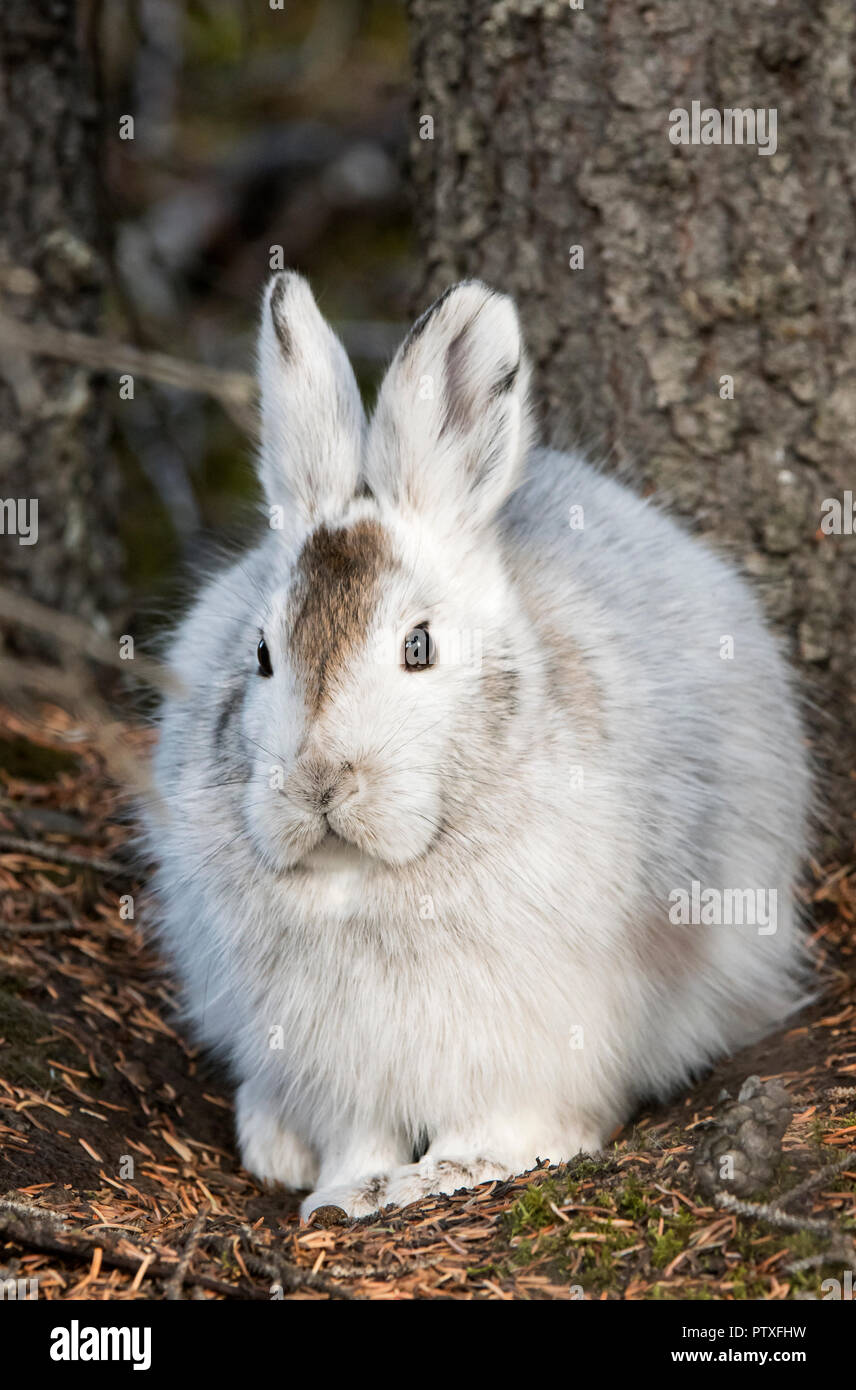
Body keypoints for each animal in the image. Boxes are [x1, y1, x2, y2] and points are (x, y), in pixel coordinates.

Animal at [145, 271, 811, 1220]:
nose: (320, 783)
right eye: (263, 655)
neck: (366, 882)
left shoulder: (533, 1034)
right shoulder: (337, 1065)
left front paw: (455, 1171)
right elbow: (358, 1132)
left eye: (419, 647)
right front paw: (349, 1194)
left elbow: (499, 1116)